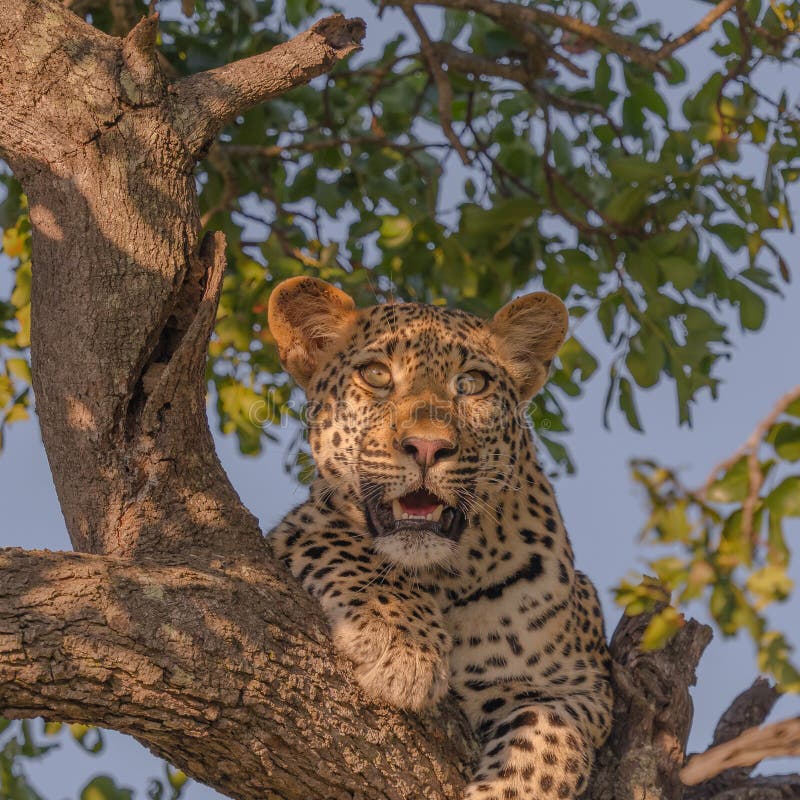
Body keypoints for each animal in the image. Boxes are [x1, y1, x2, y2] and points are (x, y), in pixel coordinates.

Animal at [267, 276, 613, 800]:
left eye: (470, 384)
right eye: (376, 375)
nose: (427, 446)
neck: (445, 575)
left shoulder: (582, 684)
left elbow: (553, 734)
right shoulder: (301, 522)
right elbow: (353, 549)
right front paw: (404, 649)